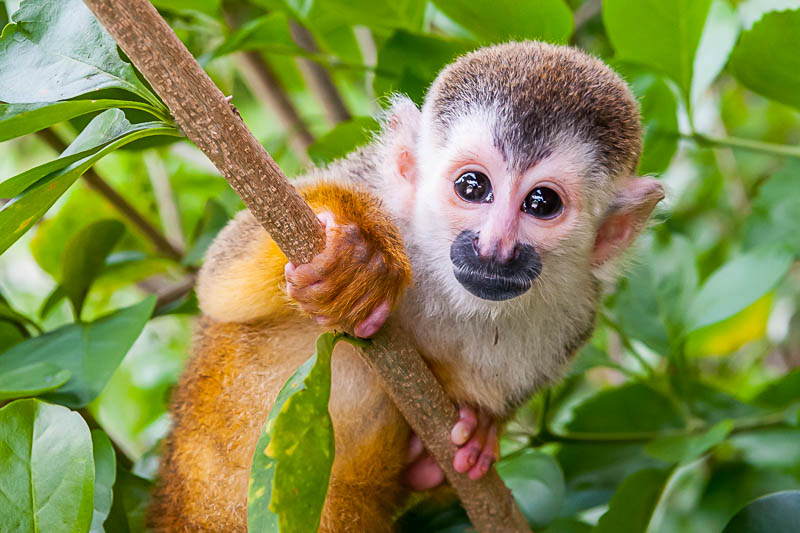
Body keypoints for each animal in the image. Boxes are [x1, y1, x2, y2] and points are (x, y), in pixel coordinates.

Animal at [148, 41, 664, 532]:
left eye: (542, 203)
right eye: (472, 186)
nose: (494, 248)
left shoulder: (574, 317)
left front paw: (479, 432)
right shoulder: (378, 187)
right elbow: (219, 278)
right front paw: (356, 258)